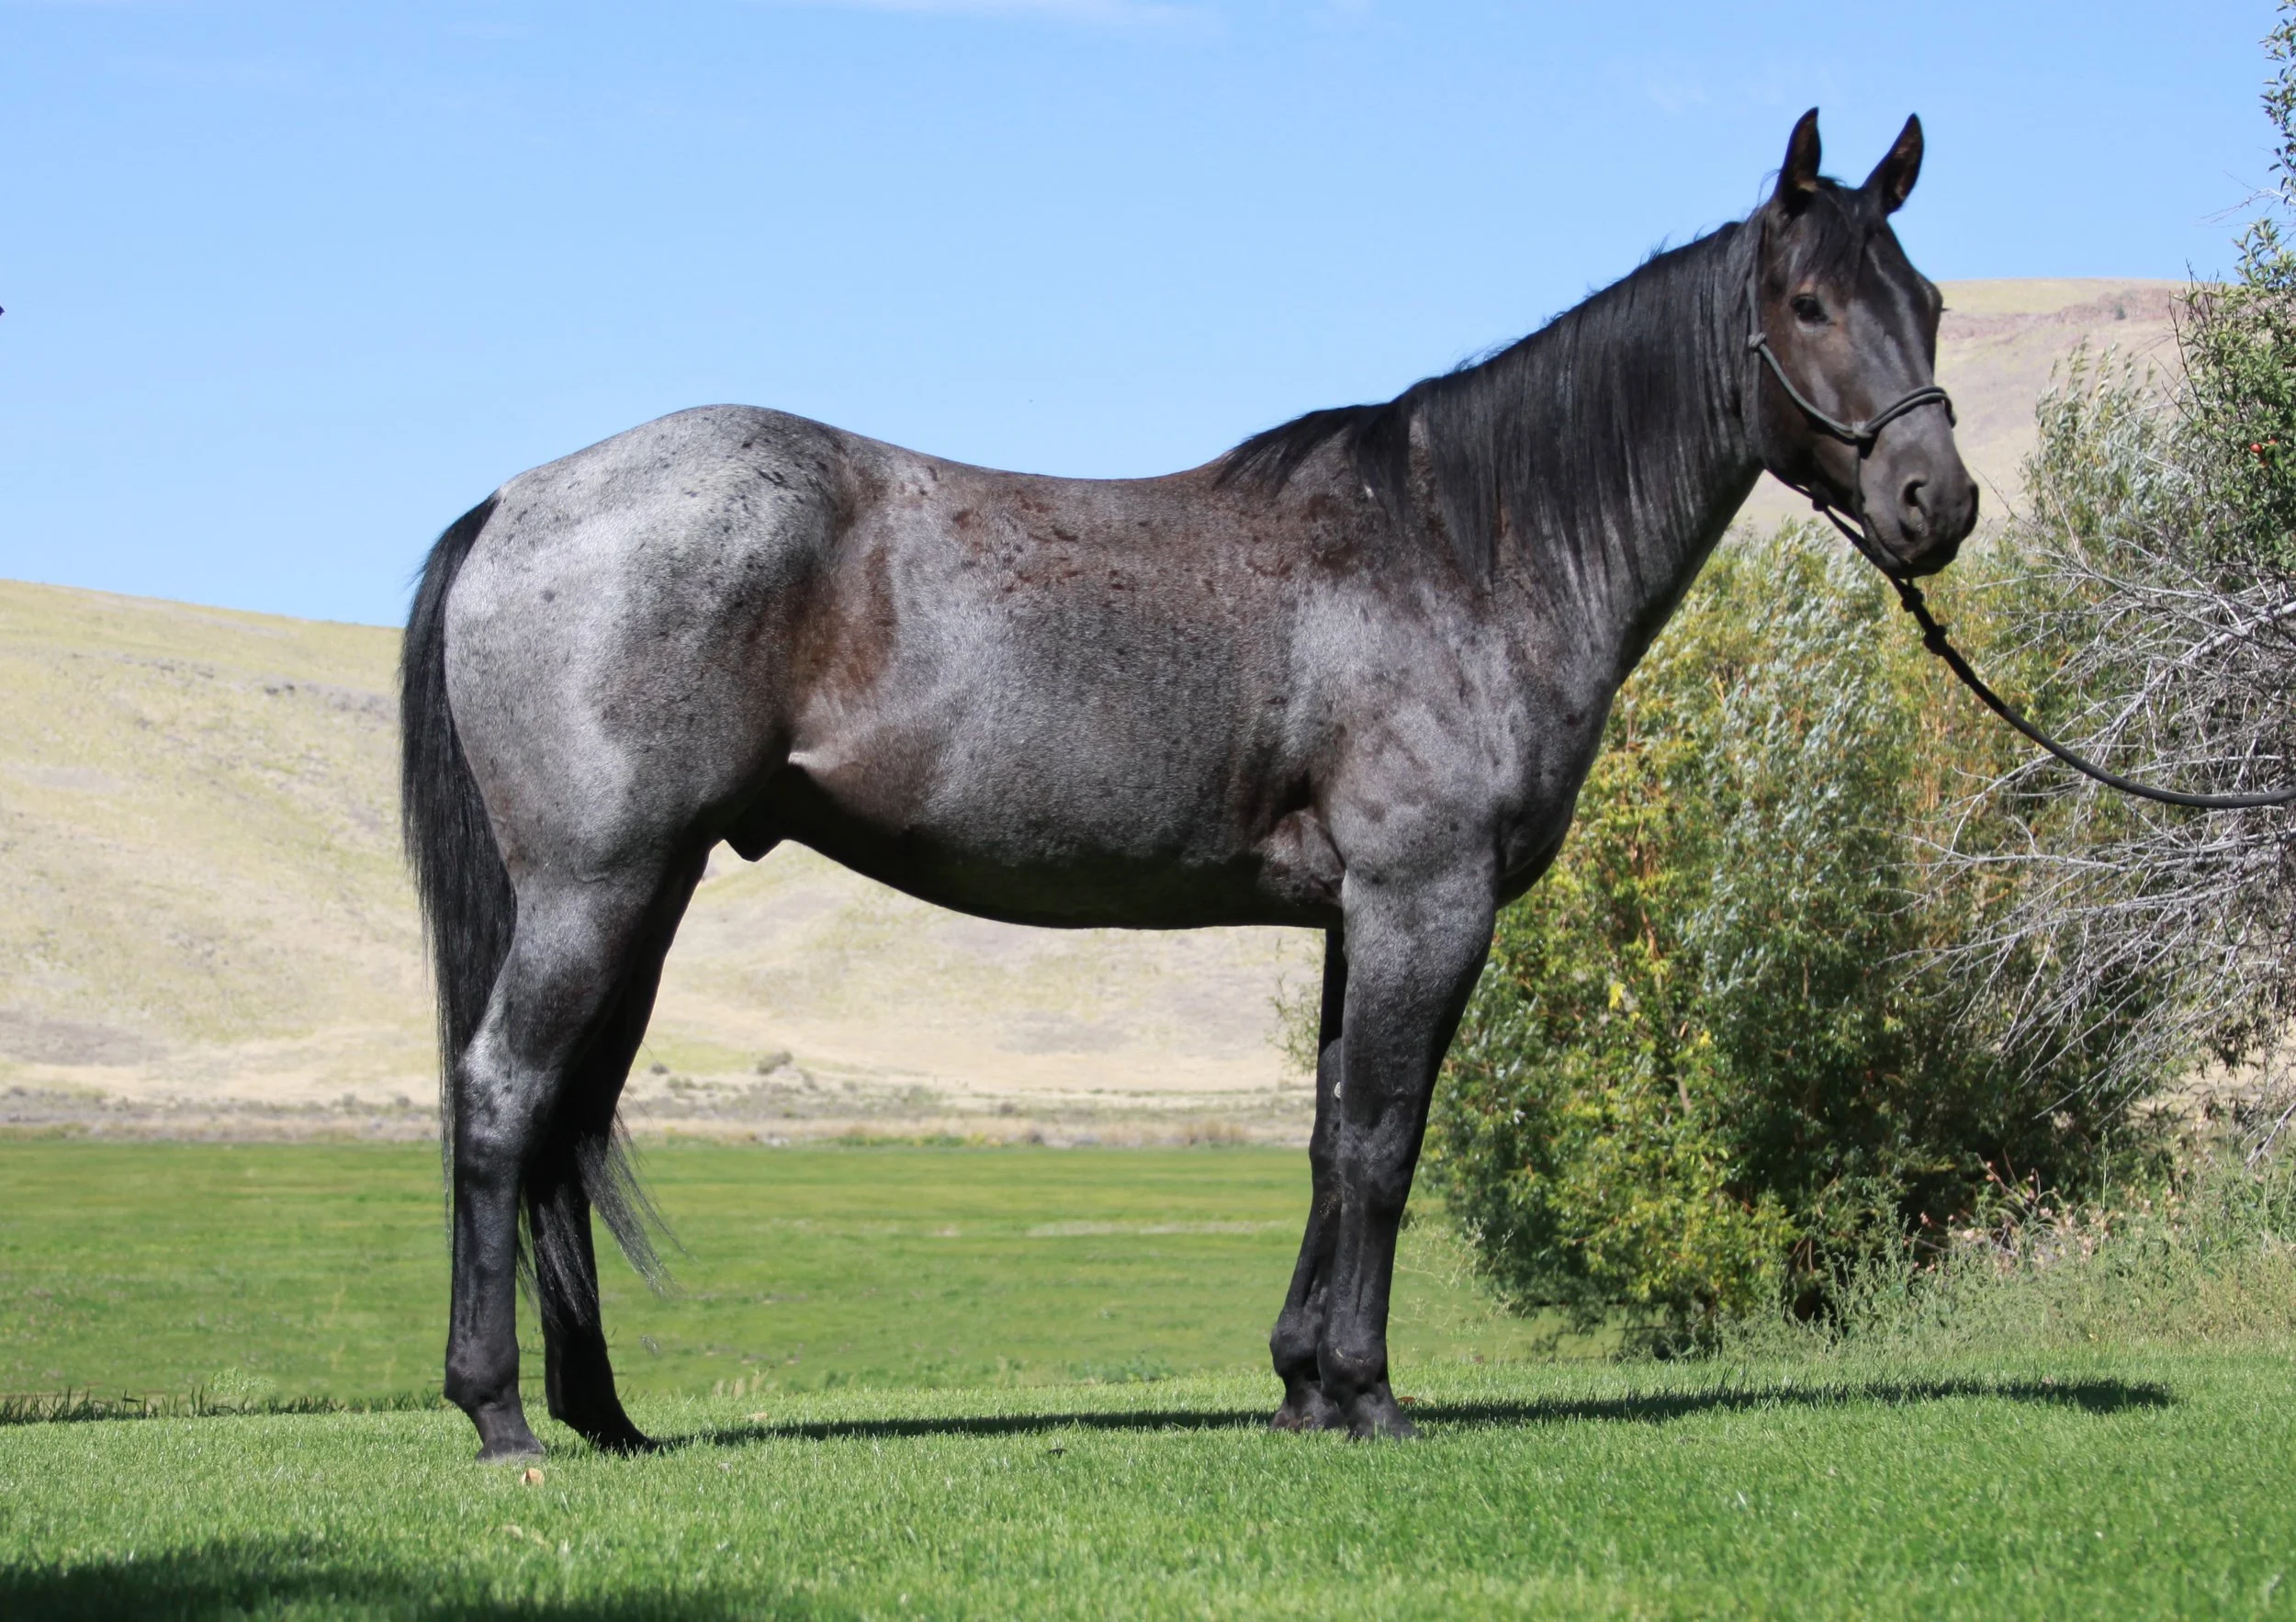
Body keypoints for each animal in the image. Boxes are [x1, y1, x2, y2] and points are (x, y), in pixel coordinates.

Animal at [401, 109, 1977, 1460]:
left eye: (1931, 300)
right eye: (1809, 306)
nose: (1935, 501)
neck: (1460, 547)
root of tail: (519, 501)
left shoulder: (1358, 917)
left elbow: (1331, 1140)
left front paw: (1303, 1386)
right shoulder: (1426, 902)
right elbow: (1386, 1144)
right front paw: (1369, 1393)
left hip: (646, 892)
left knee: (562, 1121)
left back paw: (602, 1413)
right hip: (595, 887)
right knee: (502, 1094)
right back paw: (499, 1412)